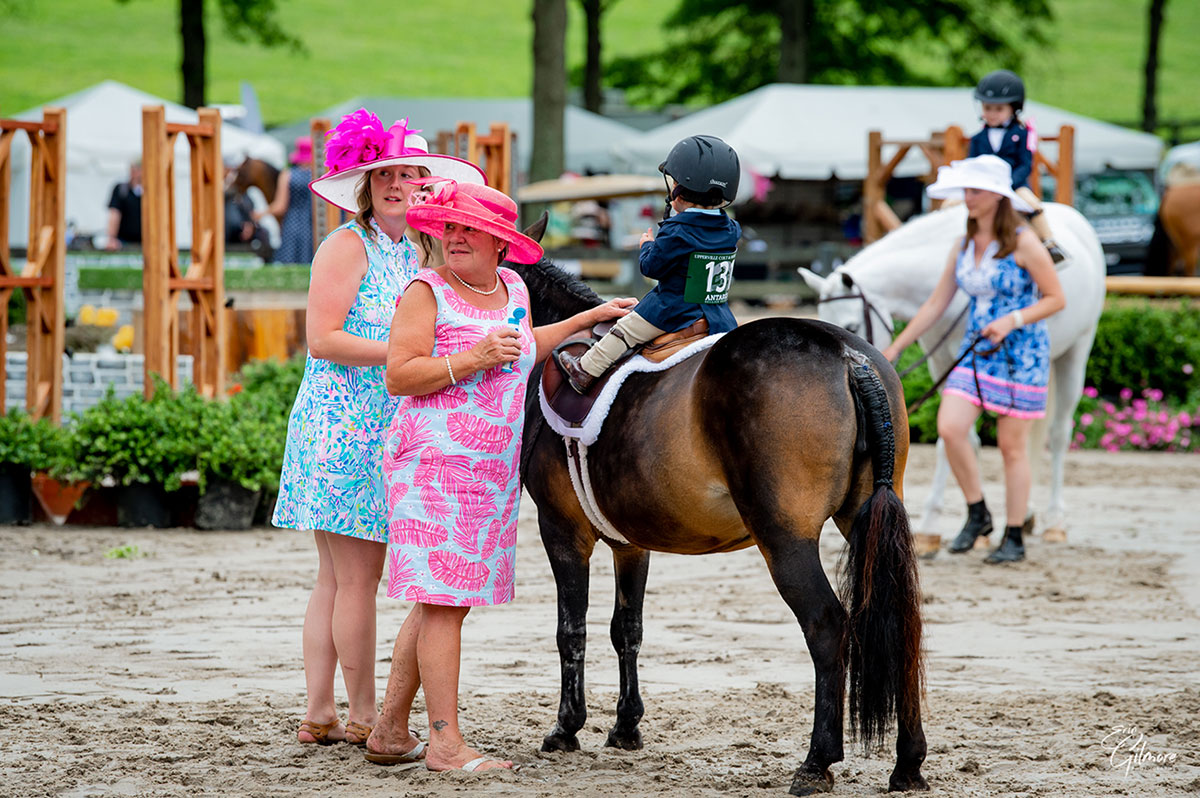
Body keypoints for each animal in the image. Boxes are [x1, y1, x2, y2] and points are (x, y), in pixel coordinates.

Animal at [509, 256, 928, 795]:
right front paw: (626, 727)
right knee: (901, 621)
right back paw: (908, 763)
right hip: (864, 517)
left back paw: (817, 760)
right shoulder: (631, 543)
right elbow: (627, 629)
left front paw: (567, 727)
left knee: (827, 625)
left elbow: (571, 630)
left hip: (784, 540)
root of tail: (846, 355)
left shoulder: (562, 531)